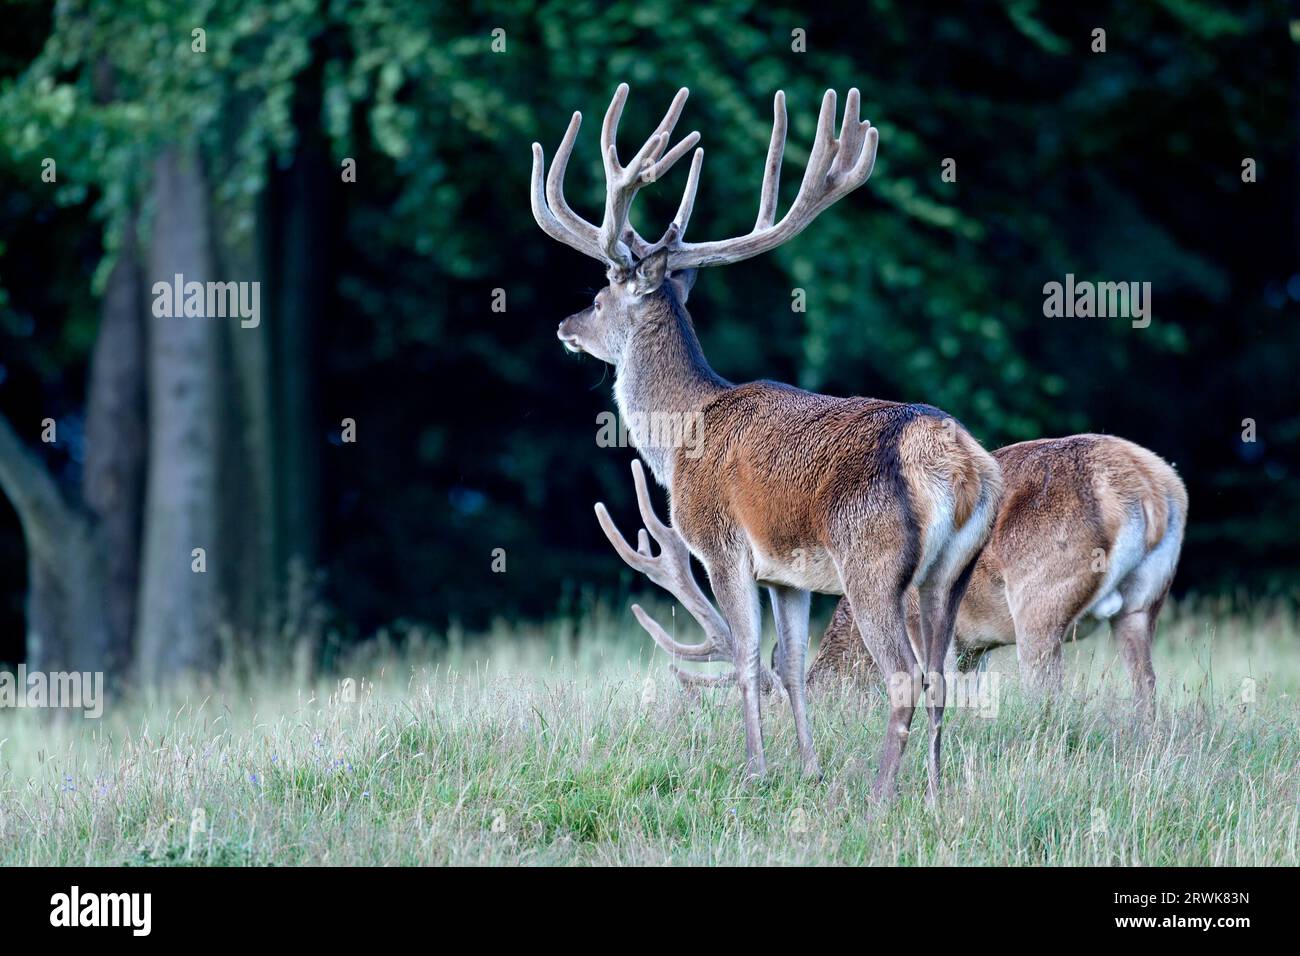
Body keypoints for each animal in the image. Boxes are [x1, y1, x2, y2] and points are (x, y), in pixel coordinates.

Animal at [531, 82, 1003, 801]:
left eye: (604, 290)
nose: (564, 325)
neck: (683, 433)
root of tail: (959, 464)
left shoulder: (720, 542)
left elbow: (752, 657)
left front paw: (754, 770)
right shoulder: (788, 572)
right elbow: (791, 662)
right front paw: (806, 766)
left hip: (871, 562)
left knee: (903, 677)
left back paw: (878, 797)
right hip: (950, 573)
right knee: (943, 678)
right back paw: (932, 791)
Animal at [806, 434, 1187, 713]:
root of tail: (1154, 492)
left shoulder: (922, 620)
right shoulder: (974, 647)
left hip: (1039, 601)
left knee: (1048, 695)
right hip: (1143, 606)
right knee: (1146, 689)